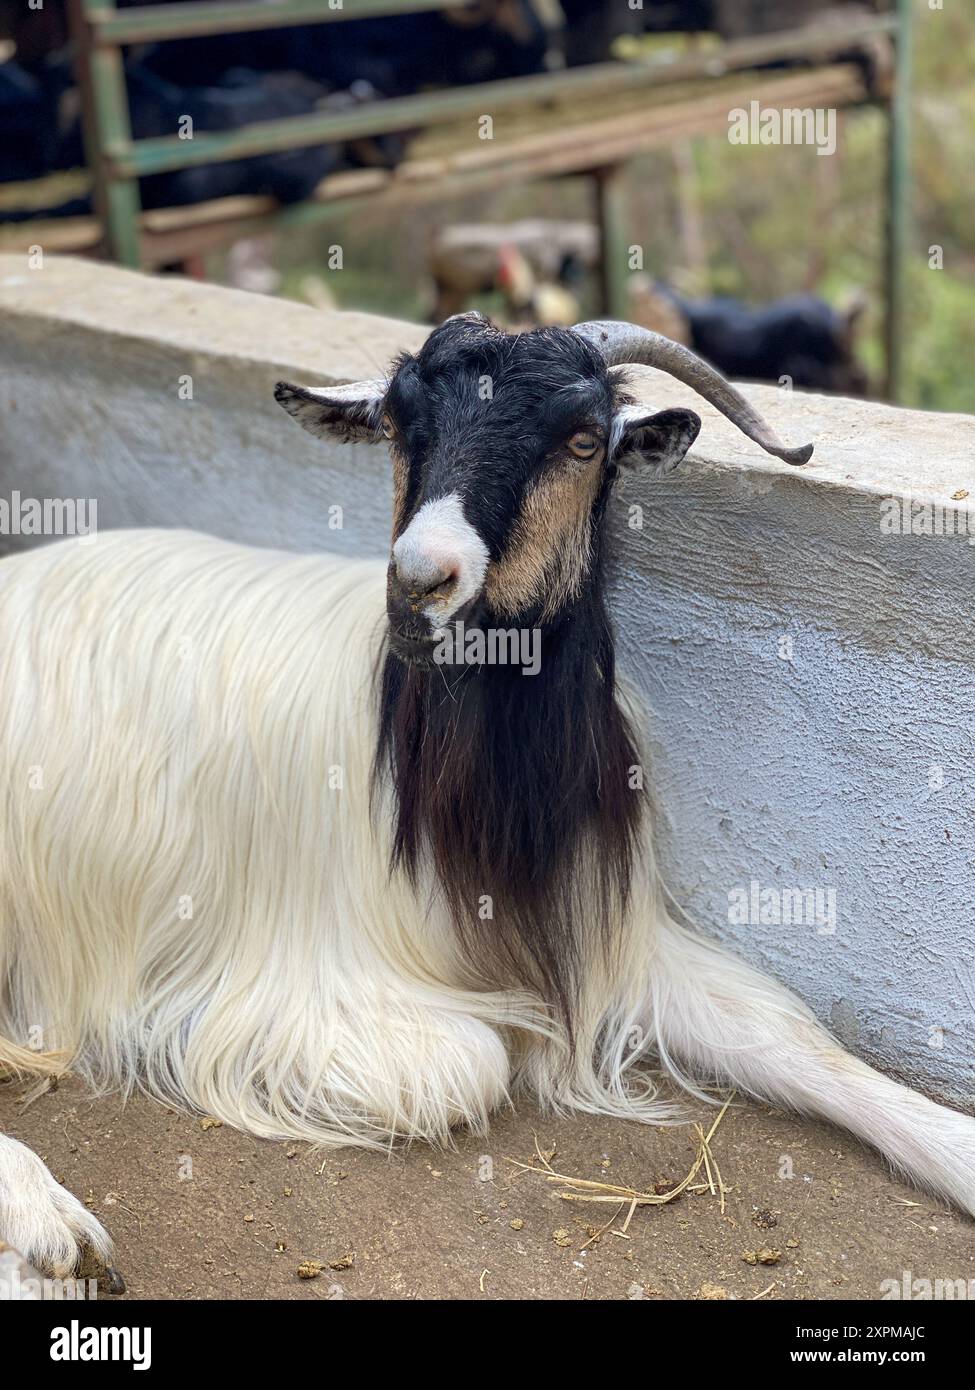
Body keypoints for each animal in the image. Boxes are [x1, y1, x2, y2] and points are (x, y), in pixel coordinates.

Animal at [0, 314, 972, 1280]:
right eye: (398, 426)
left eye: (583, 440)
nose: (417, 584)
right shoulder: (298, 982)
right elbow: (471, 1064)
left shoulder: (599, 924)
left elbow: (784, 1032)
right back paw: (49, 1231)